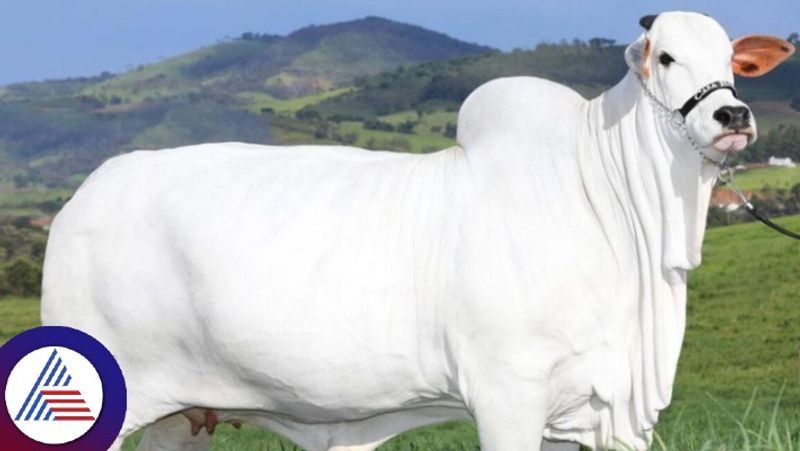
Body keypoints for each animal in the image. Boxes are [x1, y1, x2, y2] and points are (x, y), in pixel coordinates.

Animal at [40, 11, 794, 451]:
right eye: (664, 57)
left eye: (732, 59)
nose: (733, 116)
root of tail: (86, 196)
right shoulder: (508, 394)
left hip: (183, 416)